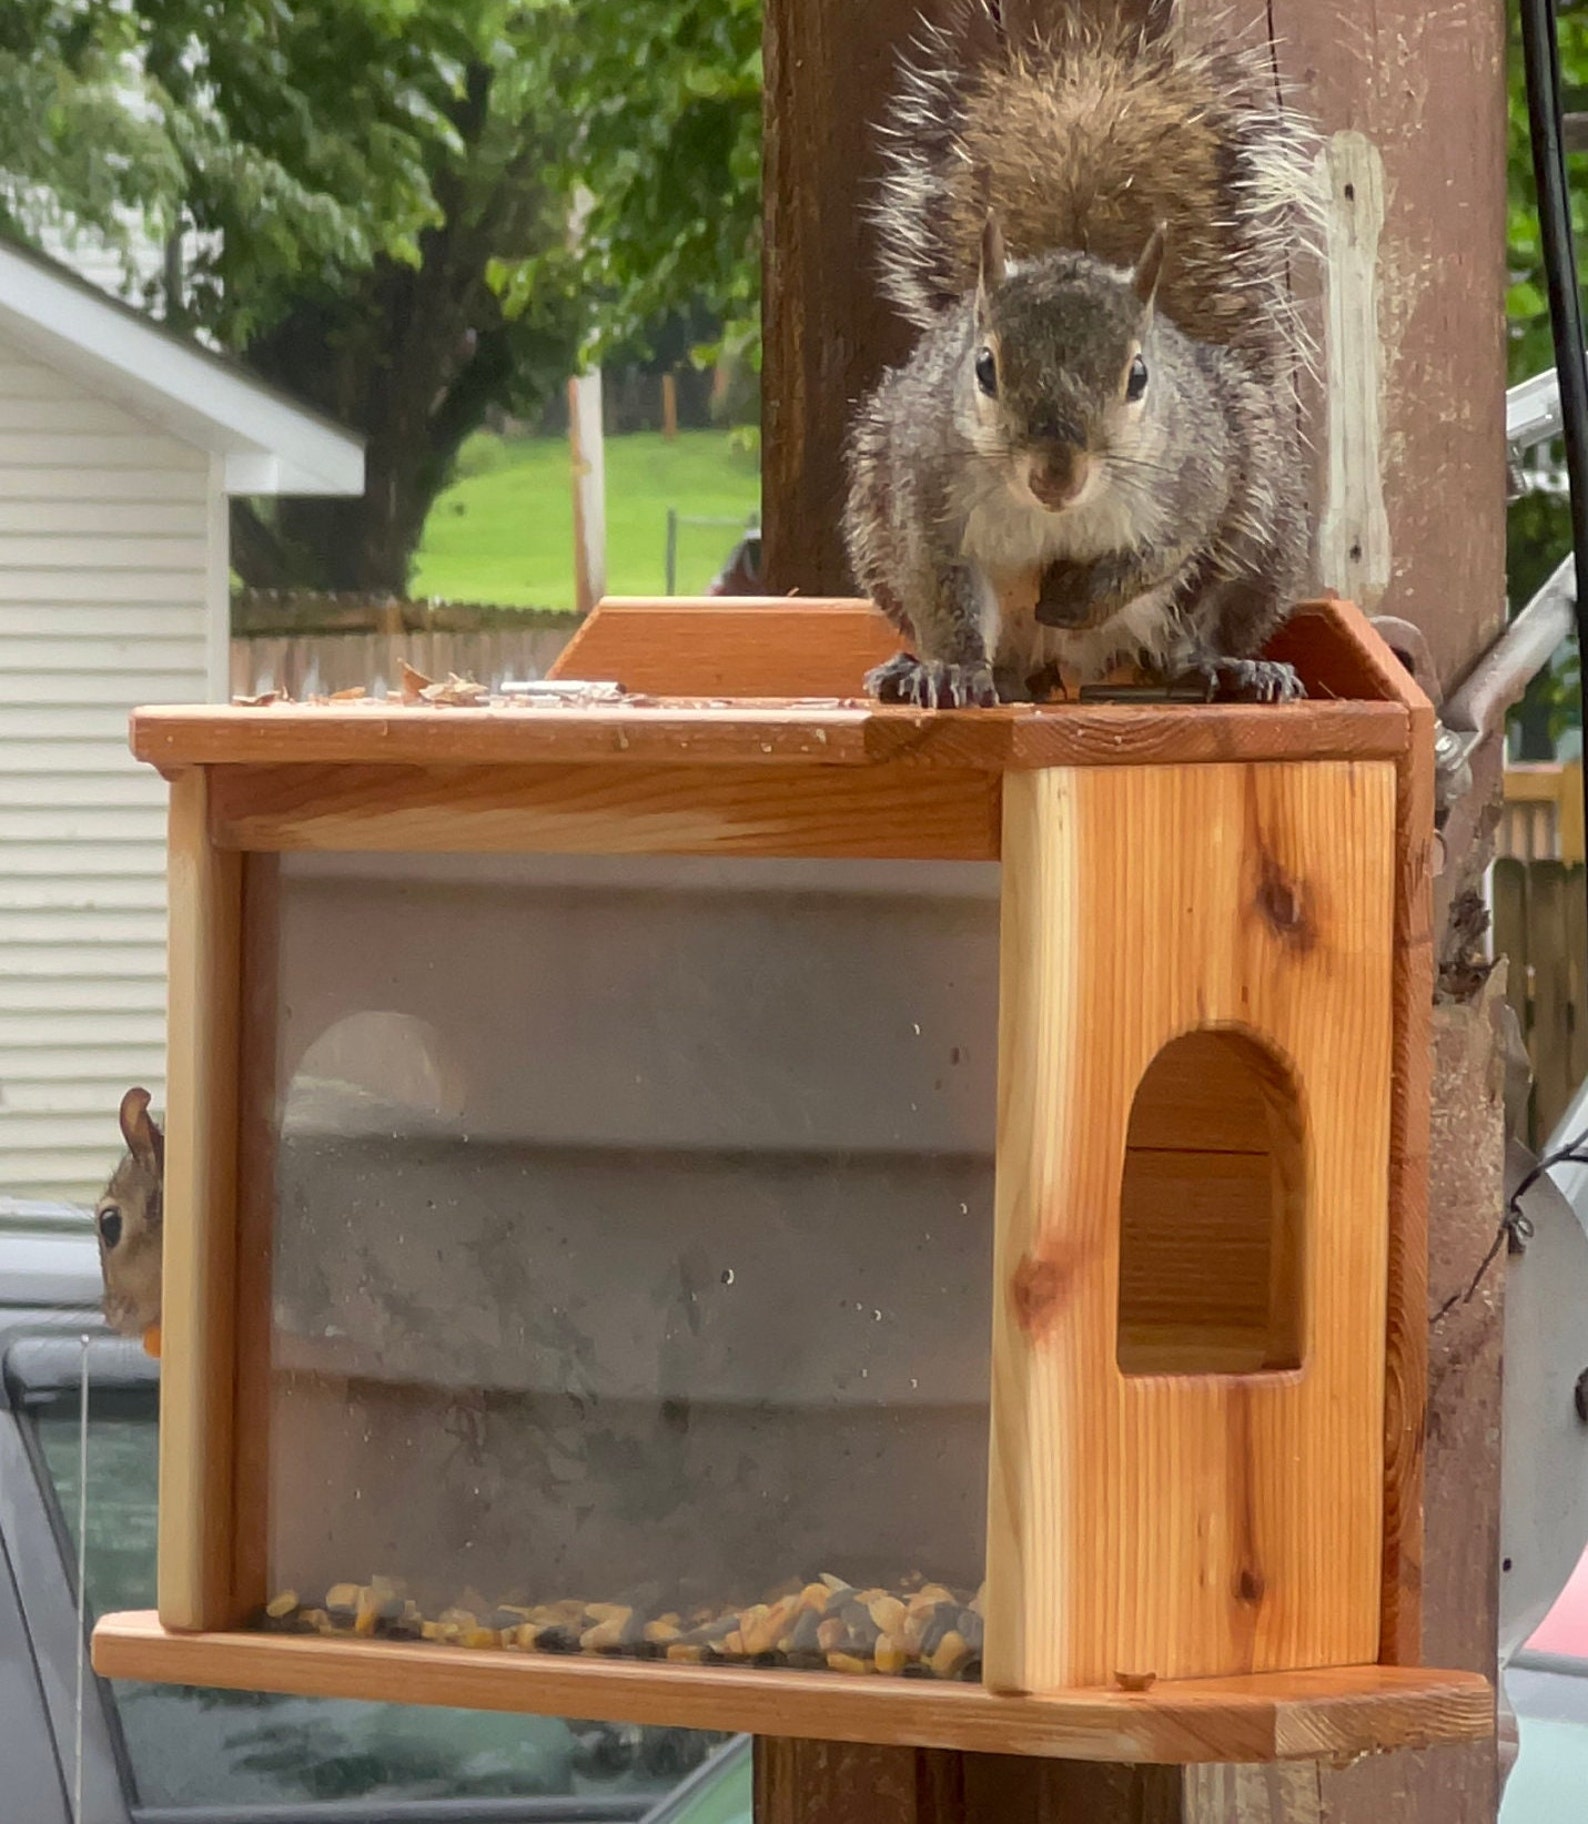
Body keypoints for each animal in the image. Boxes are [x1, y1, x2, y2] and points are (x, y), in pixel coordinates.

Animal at [842, 4, 1325, 708]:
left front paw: (1072, 600)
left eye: (1138, 376)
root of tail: (1069, 668)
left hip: (1264, 544)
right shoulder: (923, 506)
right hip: (875, 527)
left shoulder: (1195, 483)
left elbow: (1157, 555)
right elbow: (946, 599)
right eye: (985, 369)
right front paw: (953, 671)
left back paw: (1231, 667)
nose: (1056, 475)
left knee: (1184, 638)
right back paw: (919, 671)